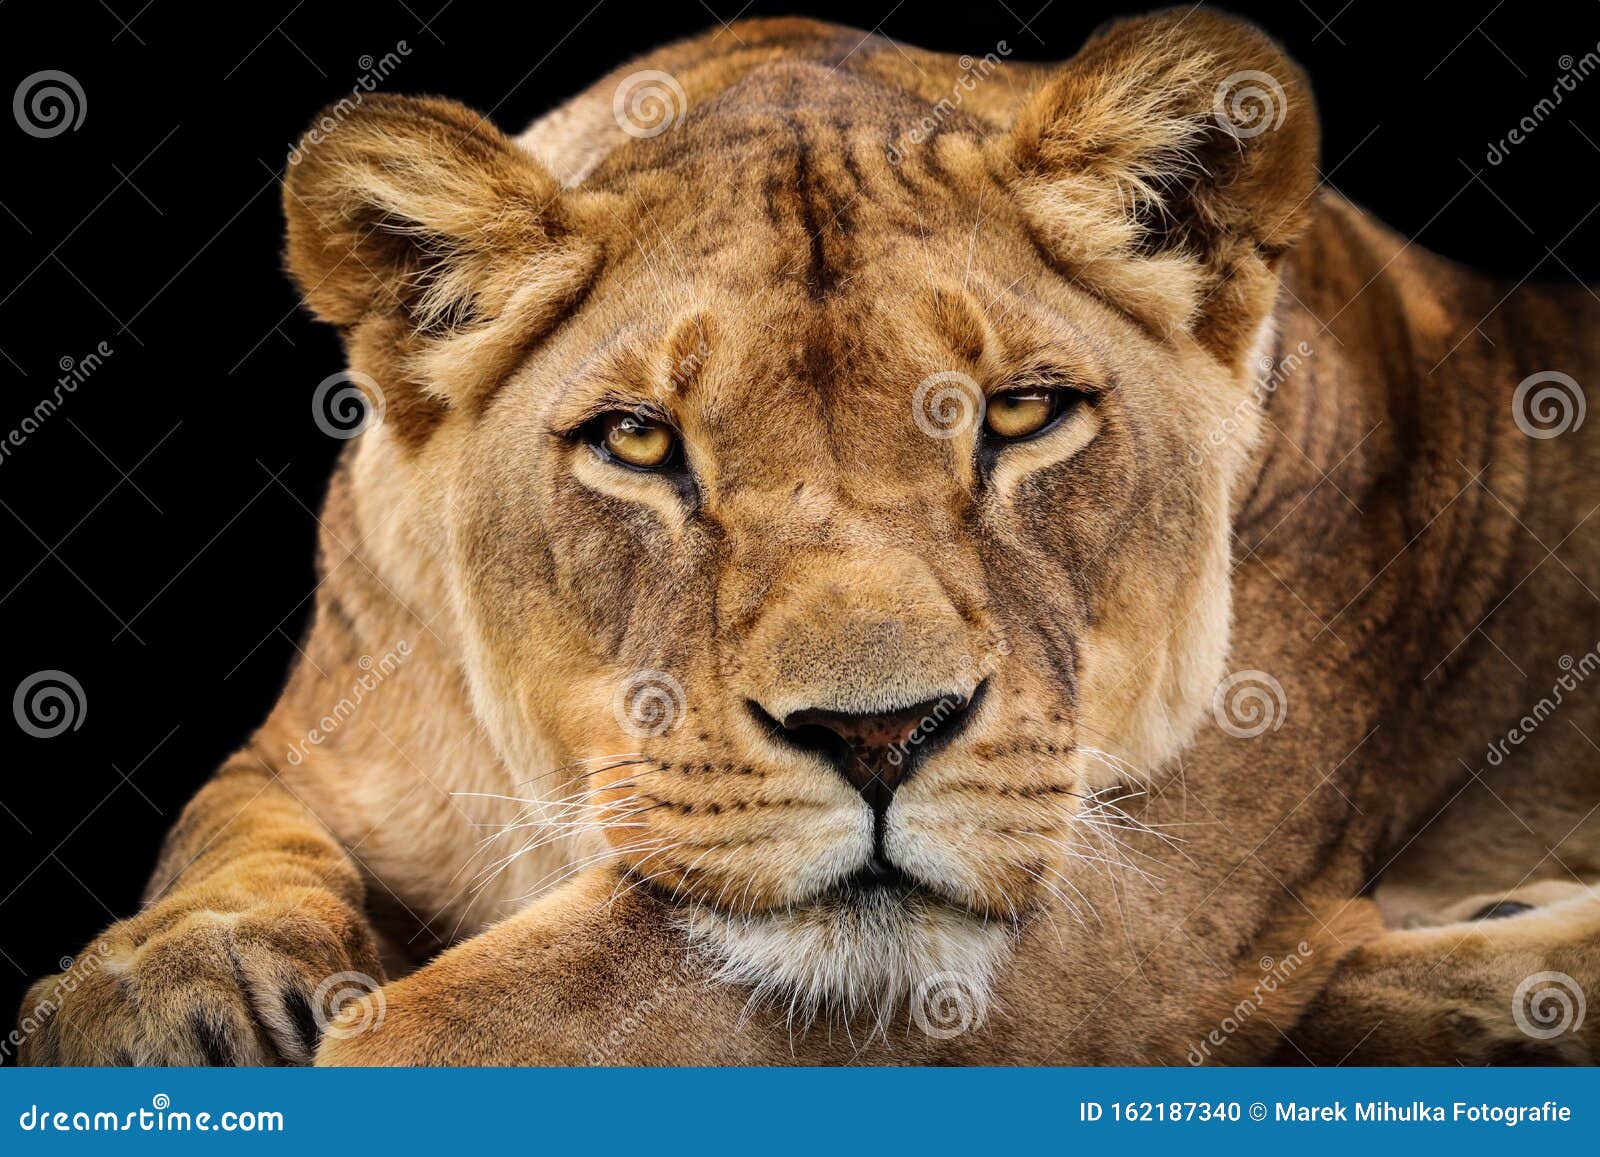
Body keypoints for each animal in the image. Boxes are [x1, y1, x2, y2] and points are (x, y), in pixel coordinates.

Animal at [18, 11, 1599, 1066]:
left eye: (1020, 414)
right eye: (638, 441)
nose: (879, 735)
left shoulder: (1147, 901)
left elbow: (492, 1021)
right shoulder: (321, 746)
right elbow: (228, 835)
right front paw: (152, 993)